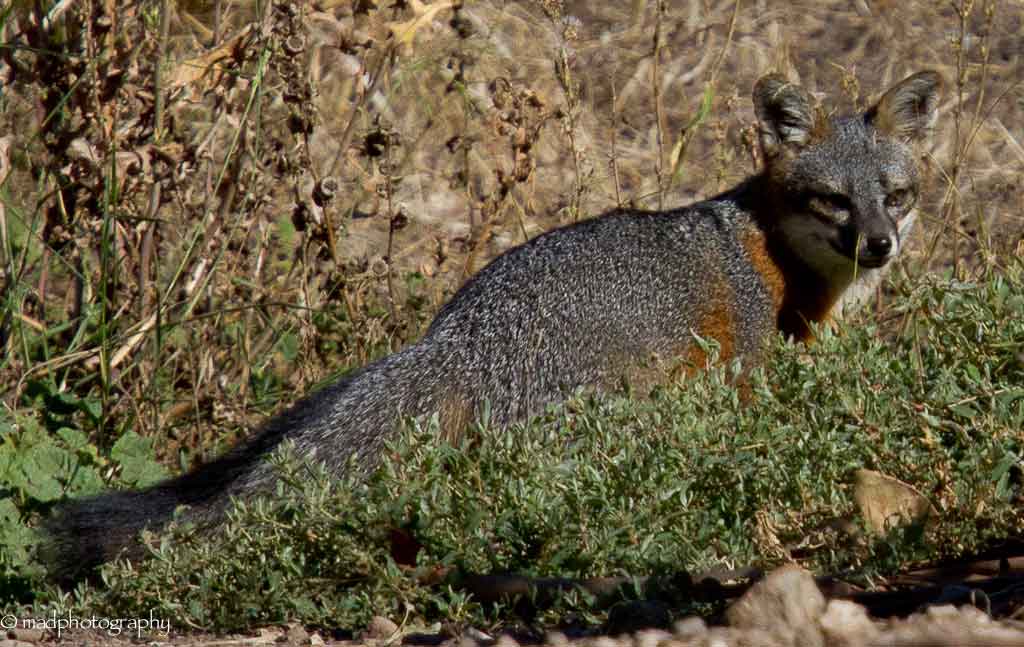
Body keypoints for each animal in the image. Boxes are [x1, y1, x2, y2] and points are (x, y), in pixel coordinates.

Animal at [45, 70, 941, 577]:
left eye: (895, 196)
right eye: (833, 200)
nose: (880, 245)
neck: (774, 257)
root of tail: (459, 336)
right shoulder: (746, 375)